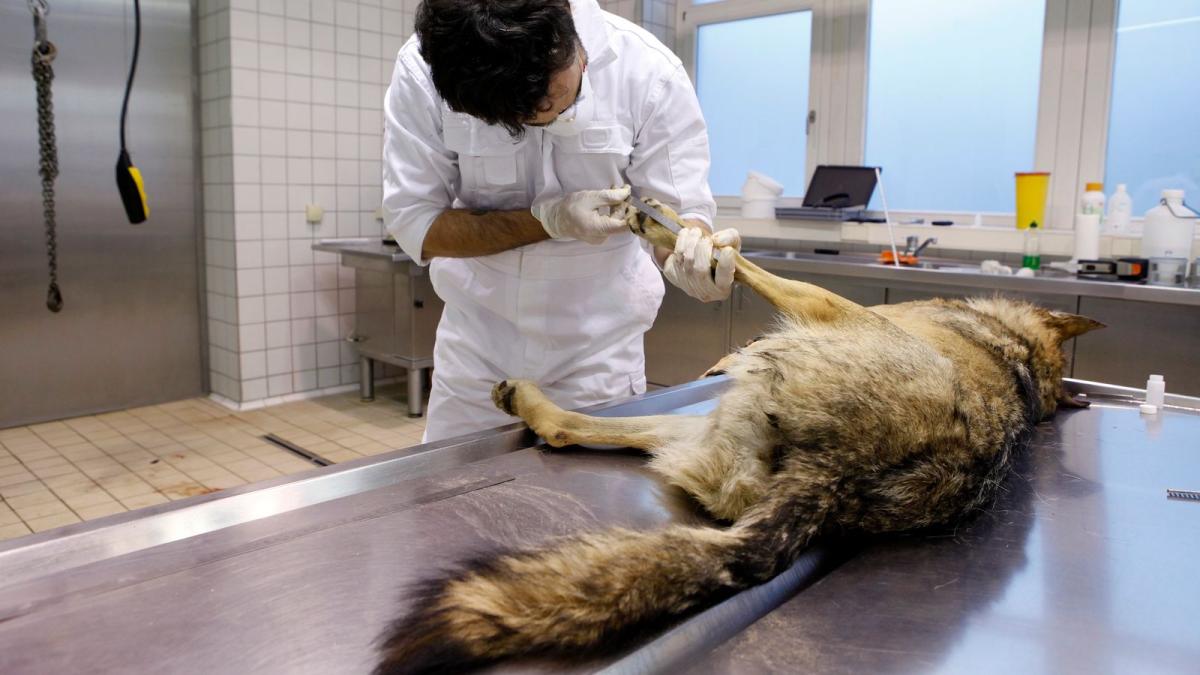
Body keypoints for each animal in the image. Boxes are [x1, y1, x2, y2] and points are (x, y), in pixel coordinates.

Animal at [374, 199, 1103, 675]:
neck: (1011, 344)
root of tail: (841, 479)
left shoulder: (822, 301)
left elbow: (739, 260)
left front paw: (660, 223)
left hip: (817, 324)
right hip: (703, 429)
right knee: (579, 426)